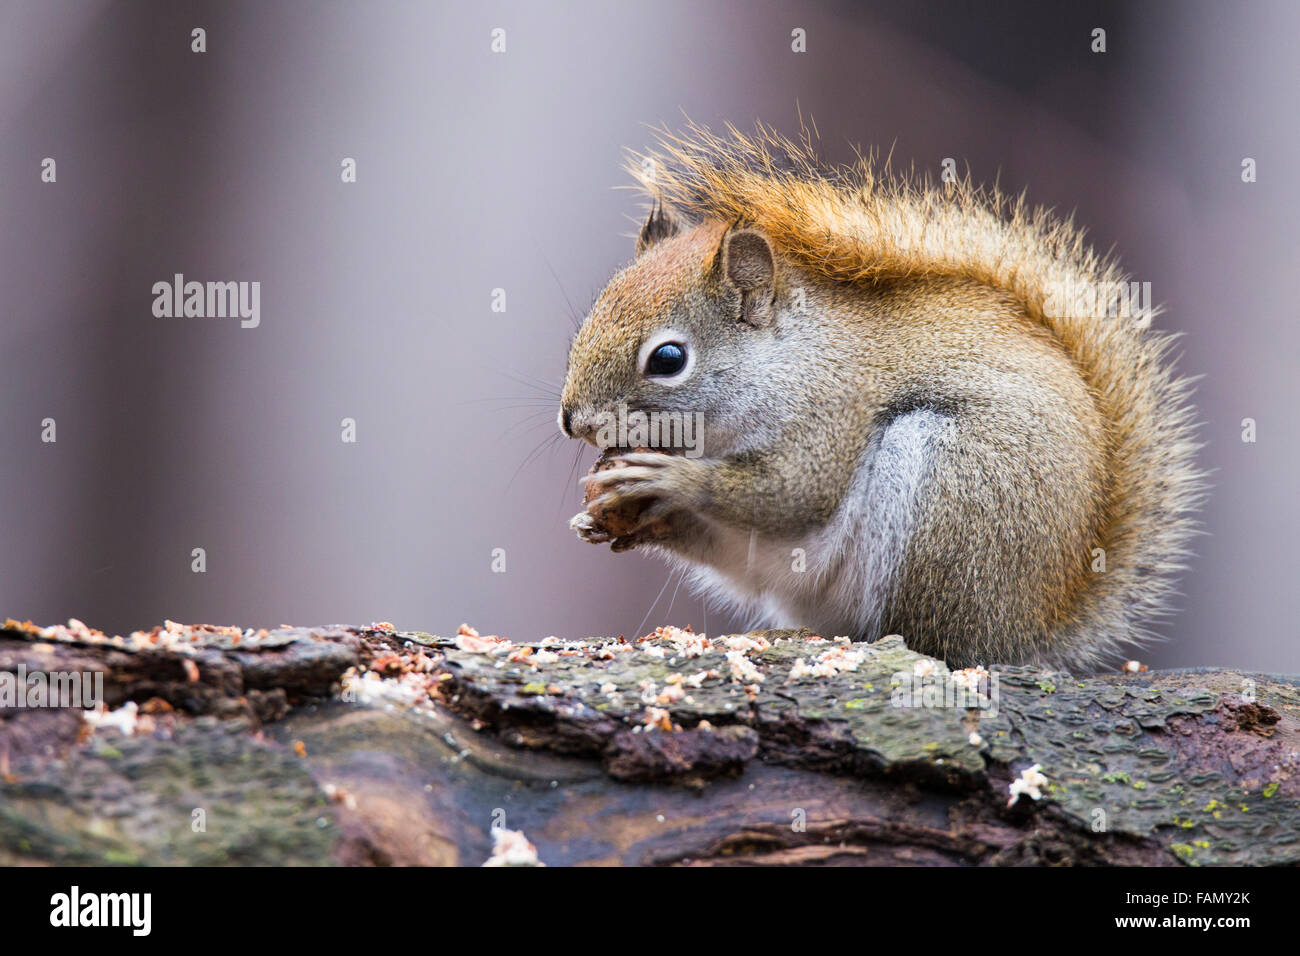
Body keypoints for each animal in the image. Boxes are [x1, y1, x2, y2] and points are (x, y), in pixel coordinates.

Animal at [559, 124, 1203, 669]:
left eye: (668, 359)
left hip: (954, 498)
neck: (783, 361)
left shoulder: (828, 411)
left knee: (937, 639)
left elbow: (794, 493)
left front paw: (671, 481)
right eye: (591, 317)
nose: (575, 423)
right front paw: (614, 517)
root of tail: (1028, 630)